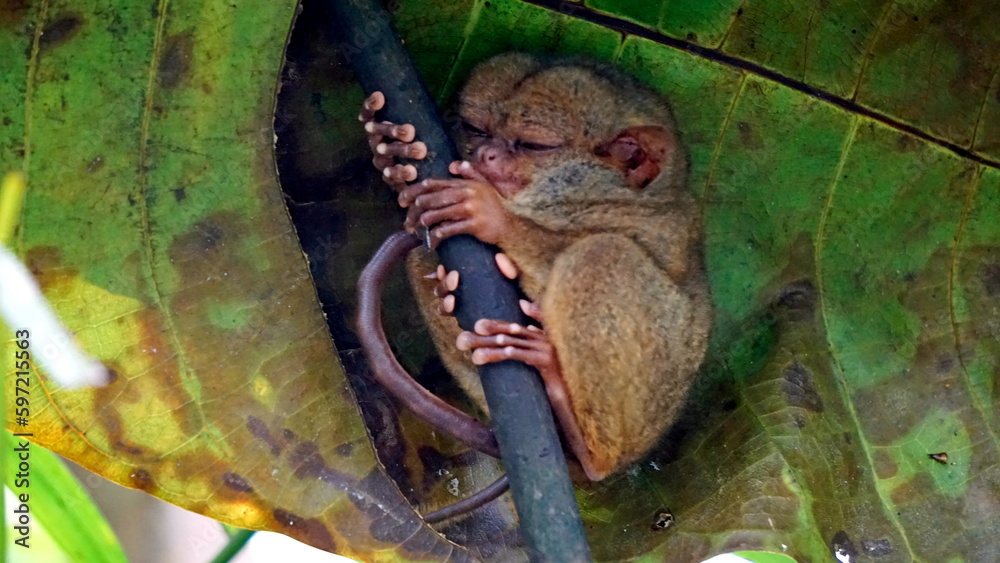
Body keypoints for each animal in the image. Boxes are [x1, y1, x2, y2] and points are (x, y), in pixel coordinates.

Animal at [359, 52, 711, 482]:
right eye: (475, 129)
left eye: (534, 145)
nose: (484, 156)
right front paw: (390, 150)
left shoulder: (658, 227)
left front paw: (492, 216)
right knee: (419, 256)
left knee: (601, 254)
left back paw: (583, 438)